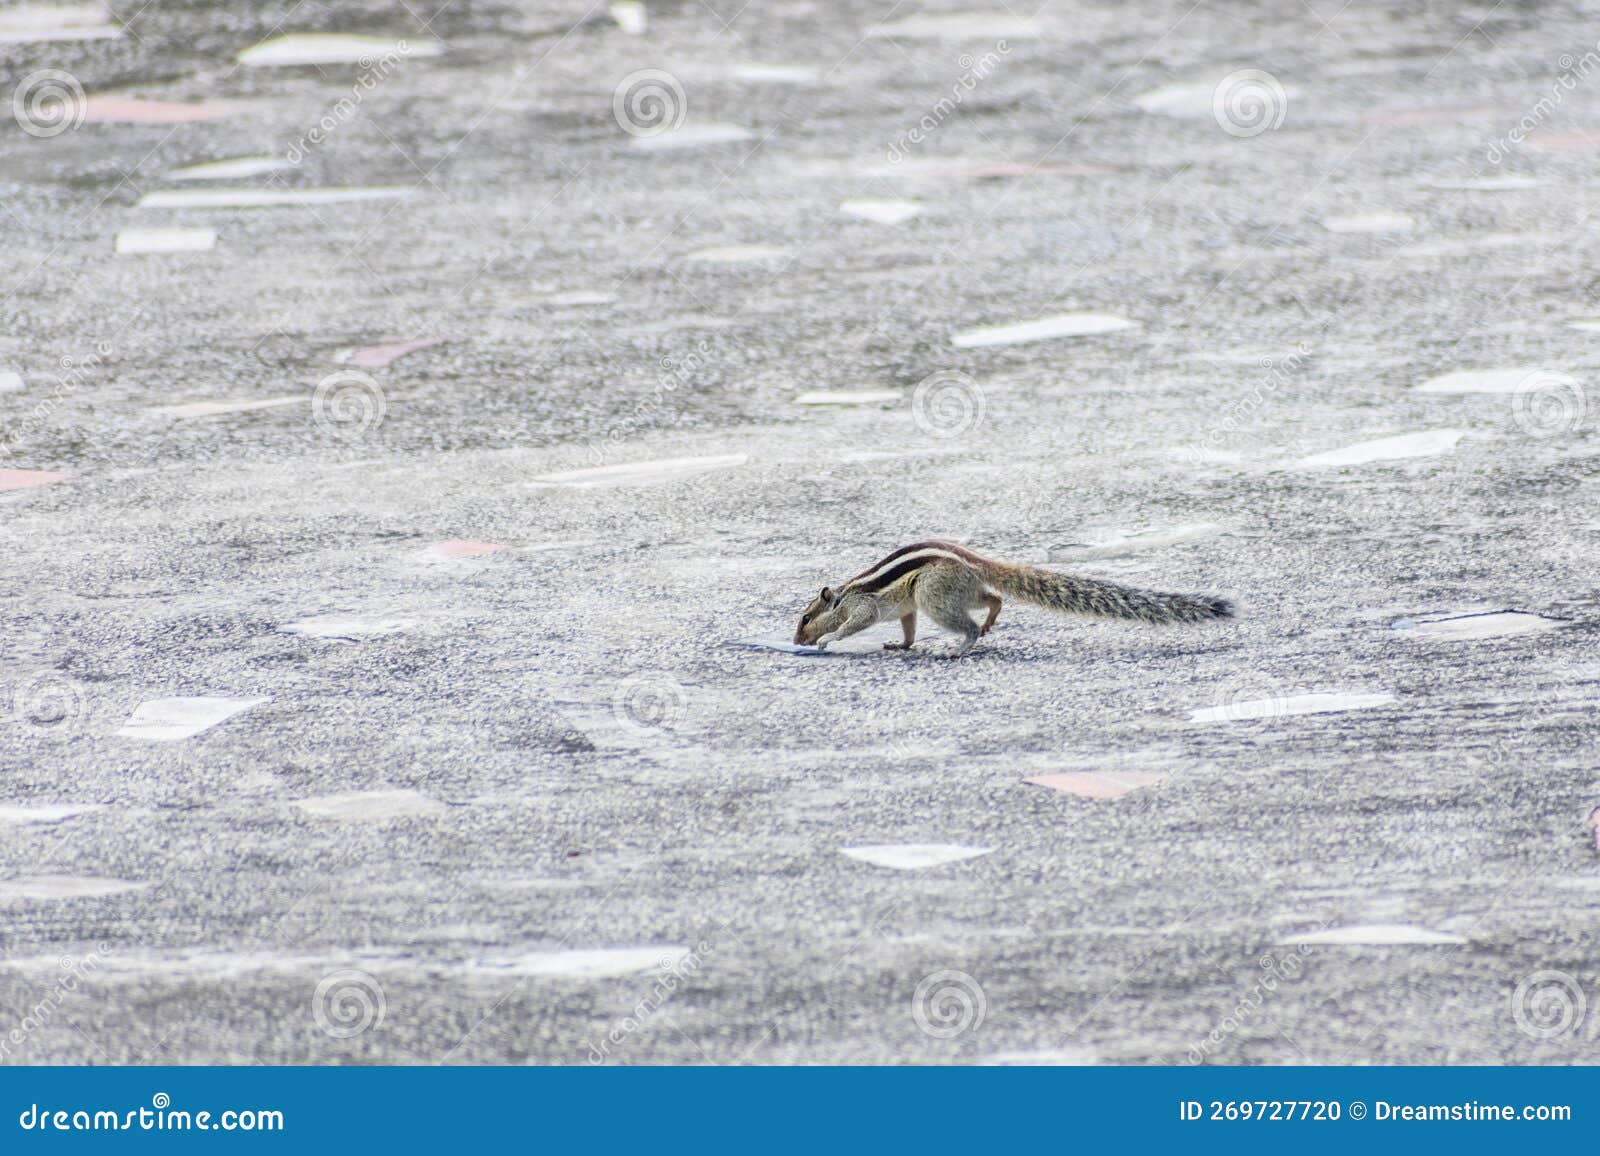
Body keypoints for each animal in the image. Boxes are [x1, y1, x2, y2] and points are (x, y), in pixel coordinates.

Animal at [793, 540, 1234, 656]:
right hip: (951, 594)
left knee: (969, 622)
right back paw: (990, 621)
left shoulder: (863, 607)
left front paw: (827, 639)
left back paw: (960, 647)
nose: (797, 640)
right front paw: (900, 645)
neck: (843, 595)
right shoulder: (907, 608)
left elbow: (855, 624)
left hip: (937, 597)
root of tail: (978, 562)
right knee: (992, 599)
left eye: (804, 618)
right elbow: (908, 628)